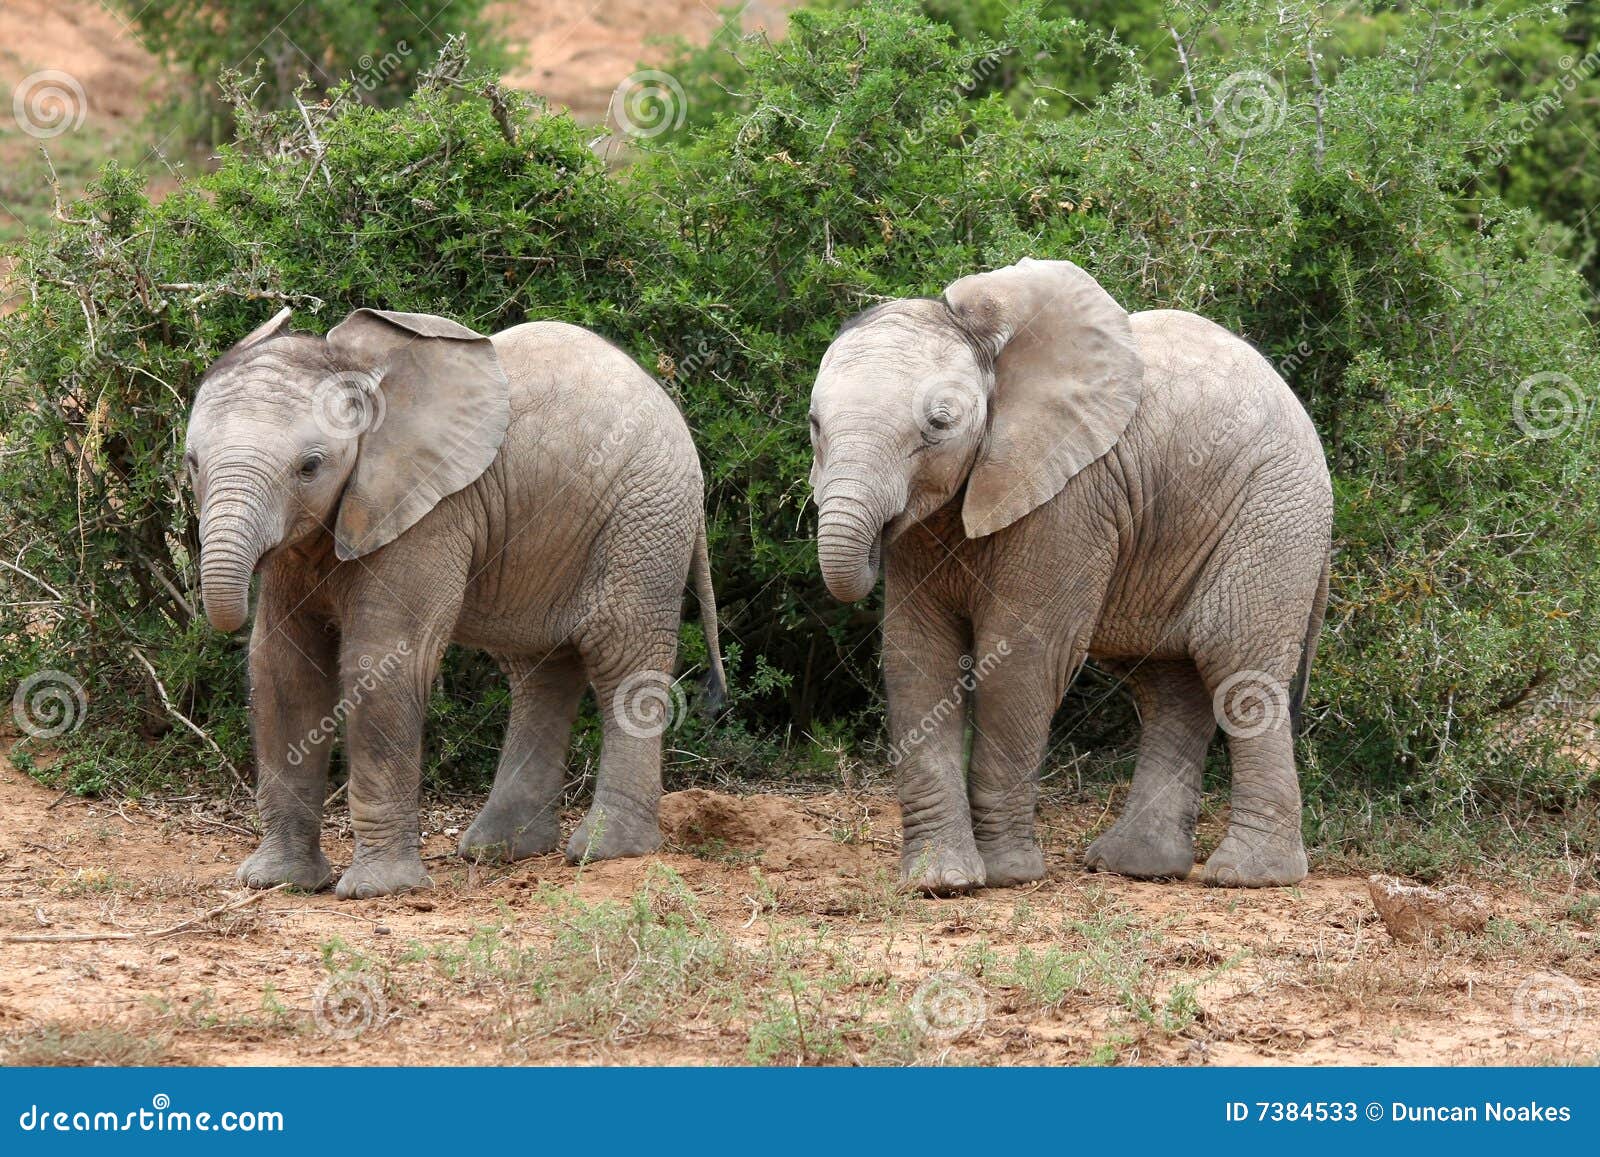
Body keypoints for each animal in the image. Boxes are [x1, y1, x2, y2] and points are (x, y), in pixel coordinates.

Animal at [184, 307, 726, 899]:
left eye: (309, 467)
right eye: (192, 464)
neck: (355, 369)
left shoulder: (428, 512)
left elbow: (381, 661)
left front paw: (377, 890)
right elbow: (284, 667)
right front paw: (278, 881)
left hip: (645, 517)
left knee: (620, 657)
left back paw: (605, 851)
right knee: (540, 670)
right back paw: (499, 850)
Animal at [808, 258, 1331, 893]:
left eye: (939, 423)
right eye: (814, 424)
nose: (869, 551)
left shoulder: (1070, 499)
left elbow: (1022, 657)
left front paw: (1007, 876)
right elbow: (917, 657)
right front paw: (940, 882)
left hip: (1274, 510)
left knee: (1235, 662)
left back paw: (1247, 877)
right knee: (1169, 686)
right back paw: (1136, 865)